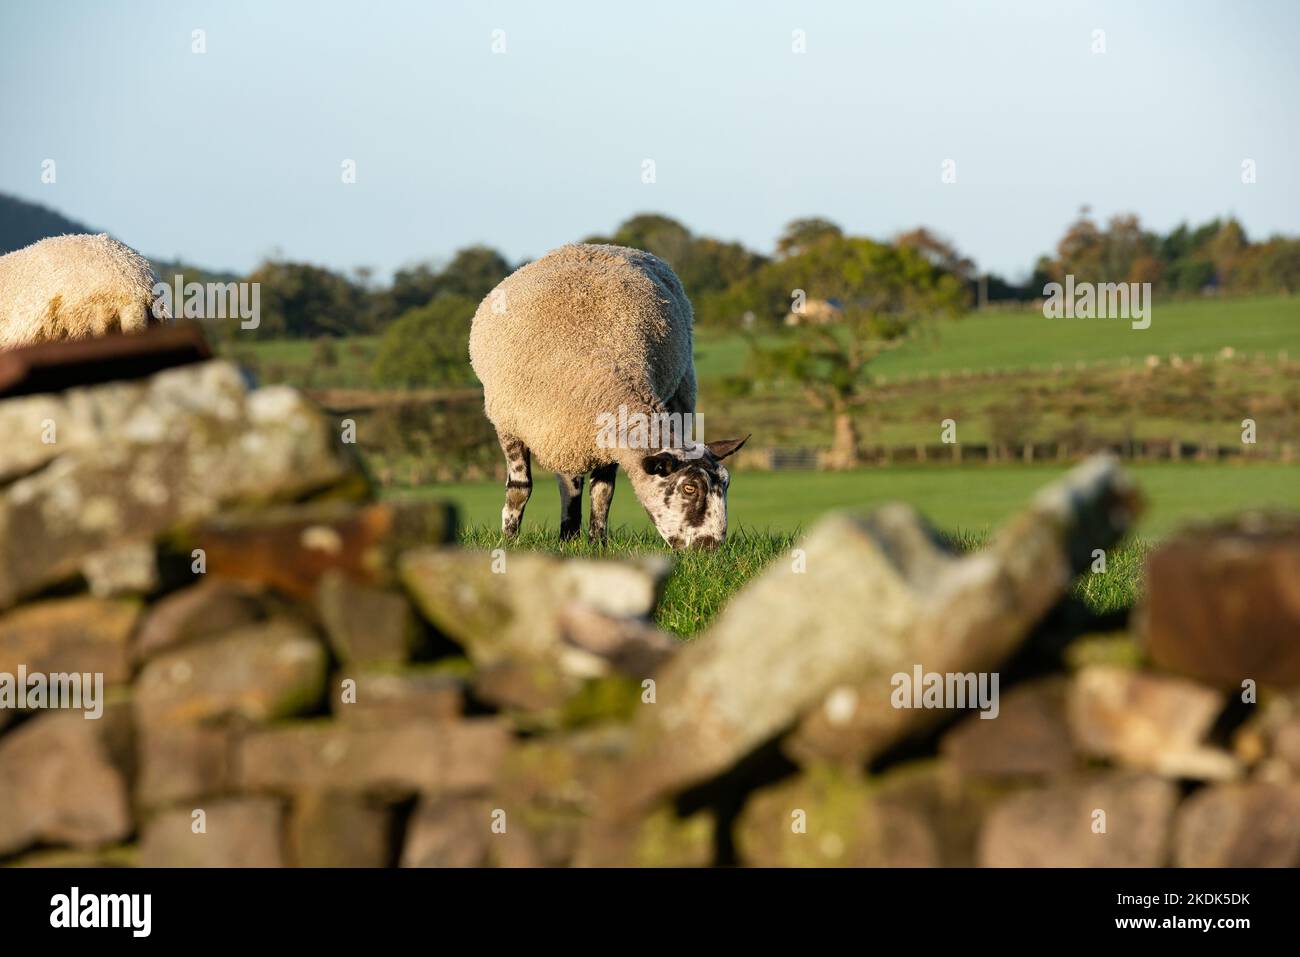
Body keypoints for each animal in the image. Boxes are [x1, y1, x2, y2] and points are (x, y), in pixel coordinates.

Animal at [469, 242, 748, 549]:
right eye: (689, 488)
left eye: (726, 484)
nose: (710, 547)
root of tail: (595, 246)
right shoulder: (511, 424)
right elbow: (521, 488)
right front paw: (509, 539)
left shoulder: (602, 436)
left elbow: (603, 492)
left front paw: (596, 543)